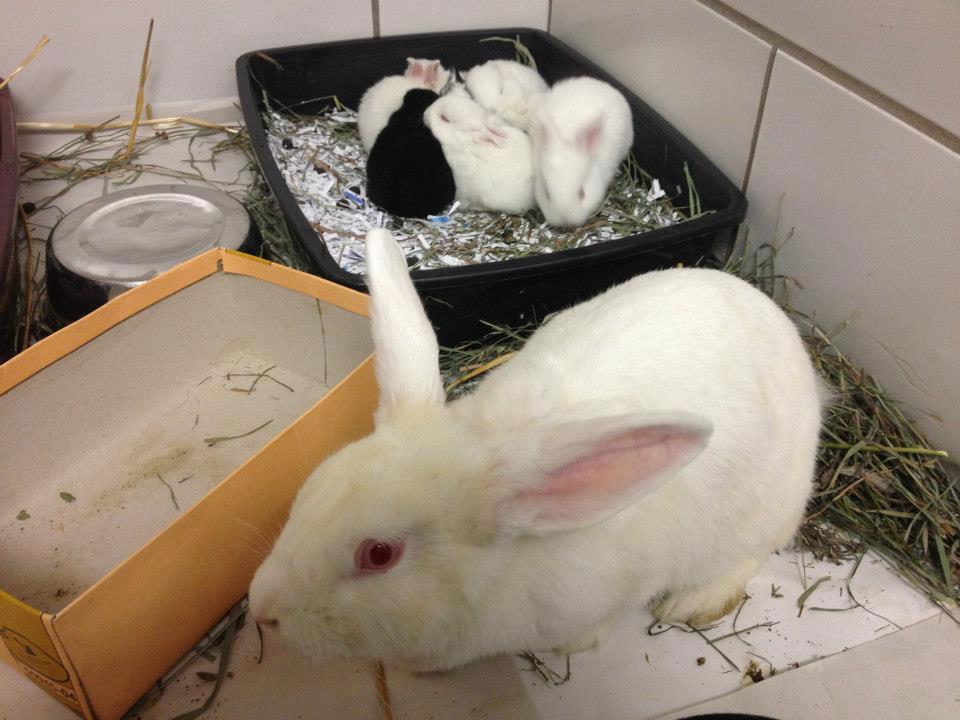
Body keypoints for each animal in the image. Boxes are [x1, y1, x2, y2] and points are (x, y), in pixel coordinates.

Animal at [249, 229, 824, 673]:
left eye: (379, 554)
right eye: (310, 489)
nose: (262, 609)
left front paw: (570, 647)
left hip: (758, 514)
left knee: (749, 554)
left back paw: (690, 604)